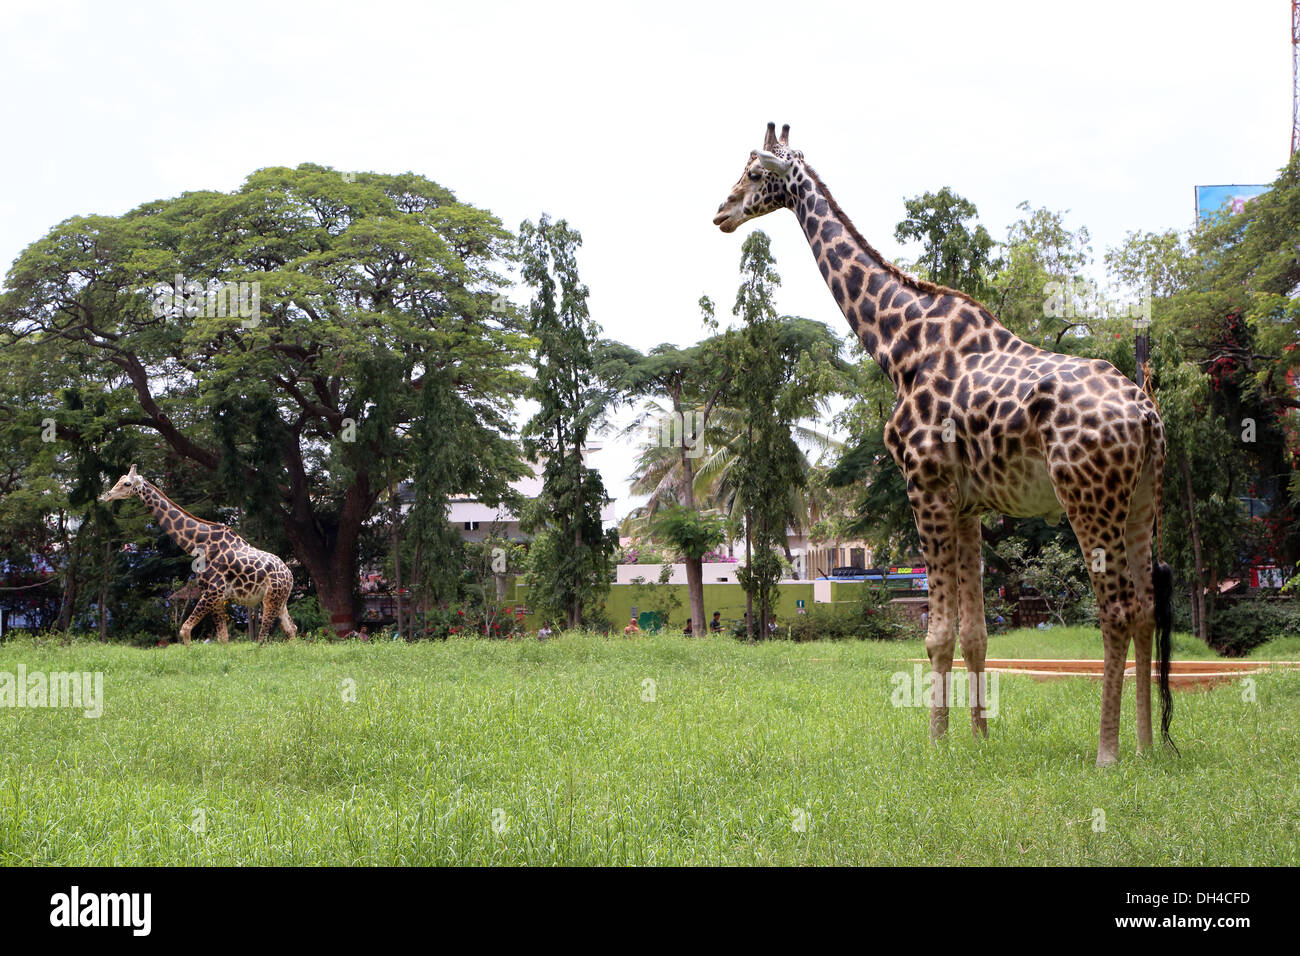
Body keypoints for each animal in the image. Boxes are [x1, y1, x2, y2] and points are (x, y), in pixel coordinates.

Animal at [100, 465, 298, 646]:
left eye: (127, 483)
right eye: (119, 478)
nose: (107, 495)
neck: (199, 544)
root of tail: (289, 574)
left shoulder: (213, 591)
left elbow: (185, 629)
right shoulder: (217, 597)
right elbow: (223, 638)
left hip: (271, 598)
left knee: (264, 634)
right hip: (280, 599)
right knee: (291, 629)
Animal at [713, 123, 1175, 766]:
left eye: (755, 173)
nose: (721, 213)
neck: (898, 346)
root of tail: (1145, 413)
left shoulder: (925, 487)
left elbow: (935, 634)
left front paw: (935, 741)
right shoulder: (969, 506)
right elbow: (975, 633)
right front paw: (978, 738)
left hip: (1088, 499)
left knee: (1115, 610)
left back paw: (1107, 753)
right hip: (1141, 501)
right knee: (1147, 610)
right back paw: (1144, 745)